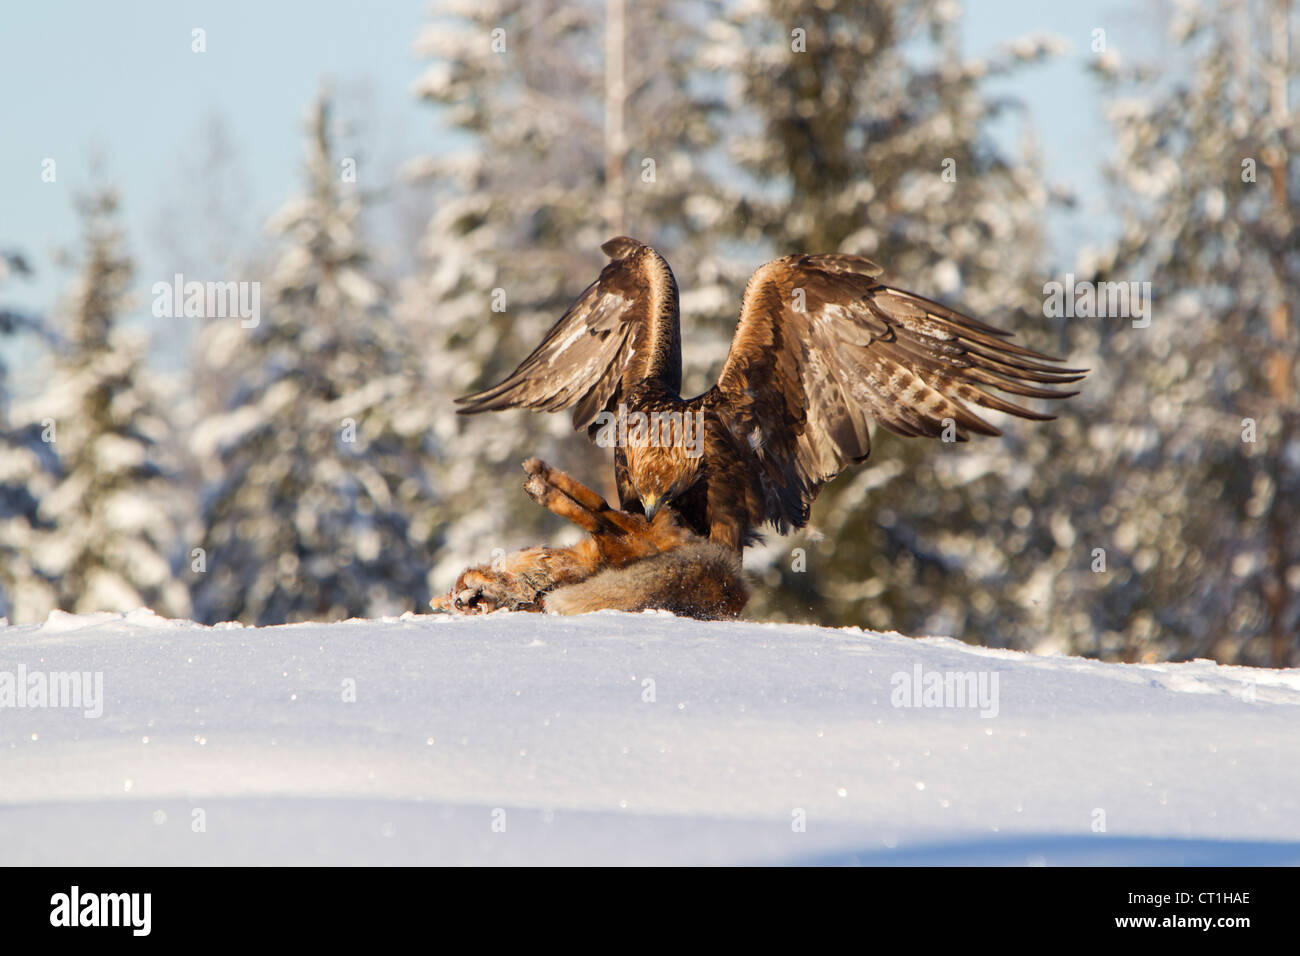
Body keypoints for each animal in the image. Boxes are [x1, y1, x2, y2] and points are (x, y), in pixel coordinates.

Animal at [431, 458, 748, 619]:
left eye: (461, 588)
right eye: (458, 607)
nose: (458, 602)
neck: (530, 586)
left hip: (624, 536)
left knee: (599, 510)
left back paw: (542, 478)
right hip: (623, 544)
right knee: (599, 516)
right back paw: (544, 486)